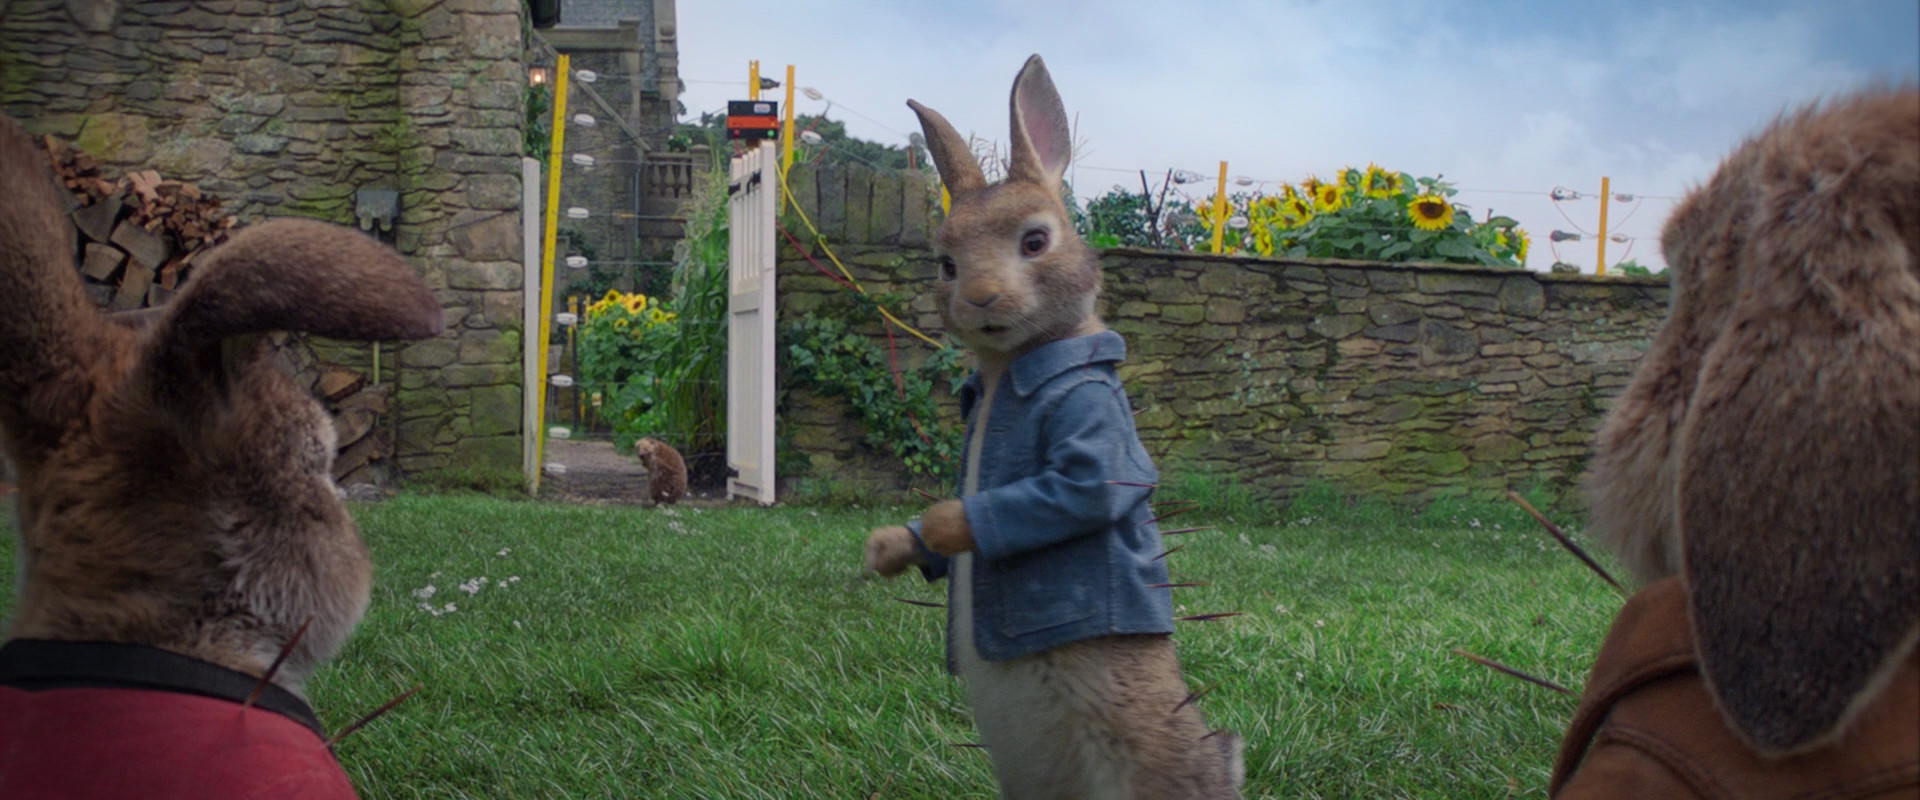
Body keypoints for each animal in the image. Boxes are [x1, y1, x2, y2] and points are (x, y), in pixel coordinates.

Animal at [862, 55, 1243, 799]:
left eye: (1035, 241)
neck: (1013, 366)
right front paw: (891, 547)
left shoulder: (1089, 418)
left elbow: (1076, 489)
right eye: (945, 264)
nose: (981, 299)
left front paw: (949, 523)